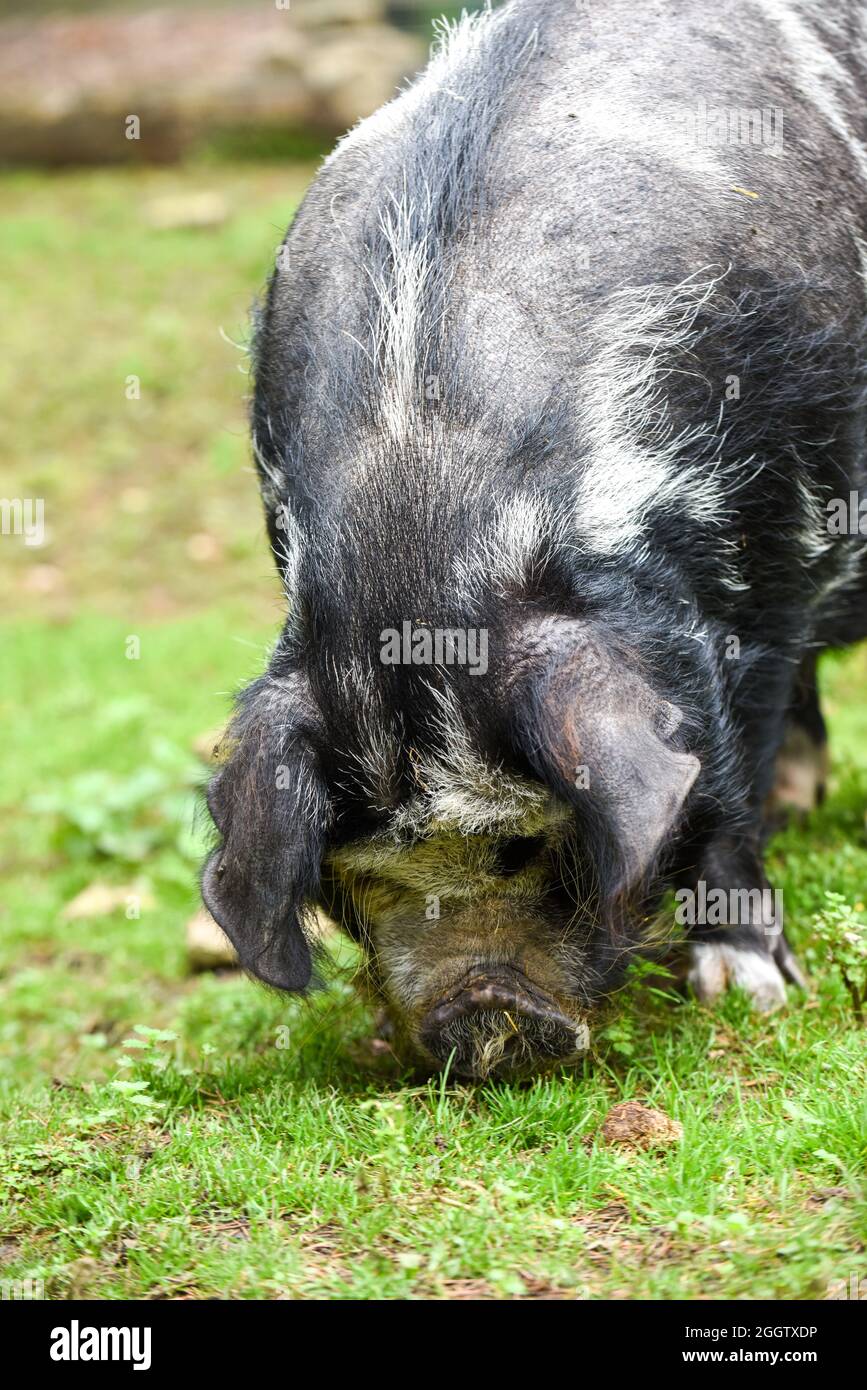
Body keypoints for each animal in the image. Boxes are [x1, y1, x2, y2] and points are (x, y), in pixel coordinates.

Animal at [202, 0, 867, 1078]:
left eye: (532, 845)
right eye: (360, 869)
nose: (485, 1013)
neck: (420, 489)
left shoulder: (775, 544)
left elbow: (725, 768)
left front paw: (750, 993)